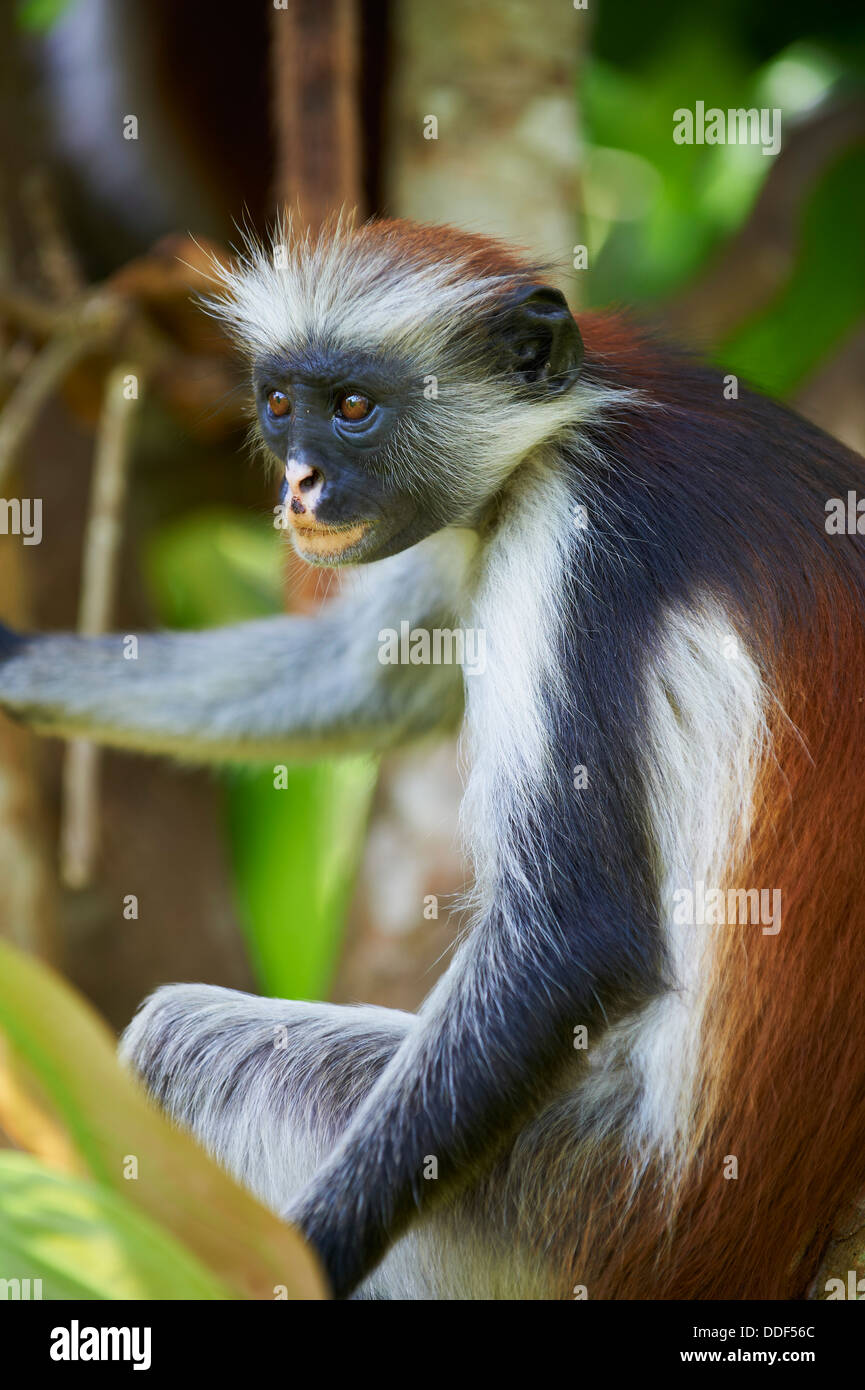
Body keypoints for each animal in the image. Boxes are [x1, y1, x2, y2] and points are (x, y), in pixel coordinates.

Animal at [2, 215, 865, 1300]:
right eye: (281, 405)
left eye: (354, 408)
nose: (299, 485)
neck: (583, 412)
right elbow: (366, 676)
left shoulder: (576, 529)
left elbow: (570, 939)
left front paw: (314, 1255)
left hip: (578, 1201)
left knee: (186, 1038)